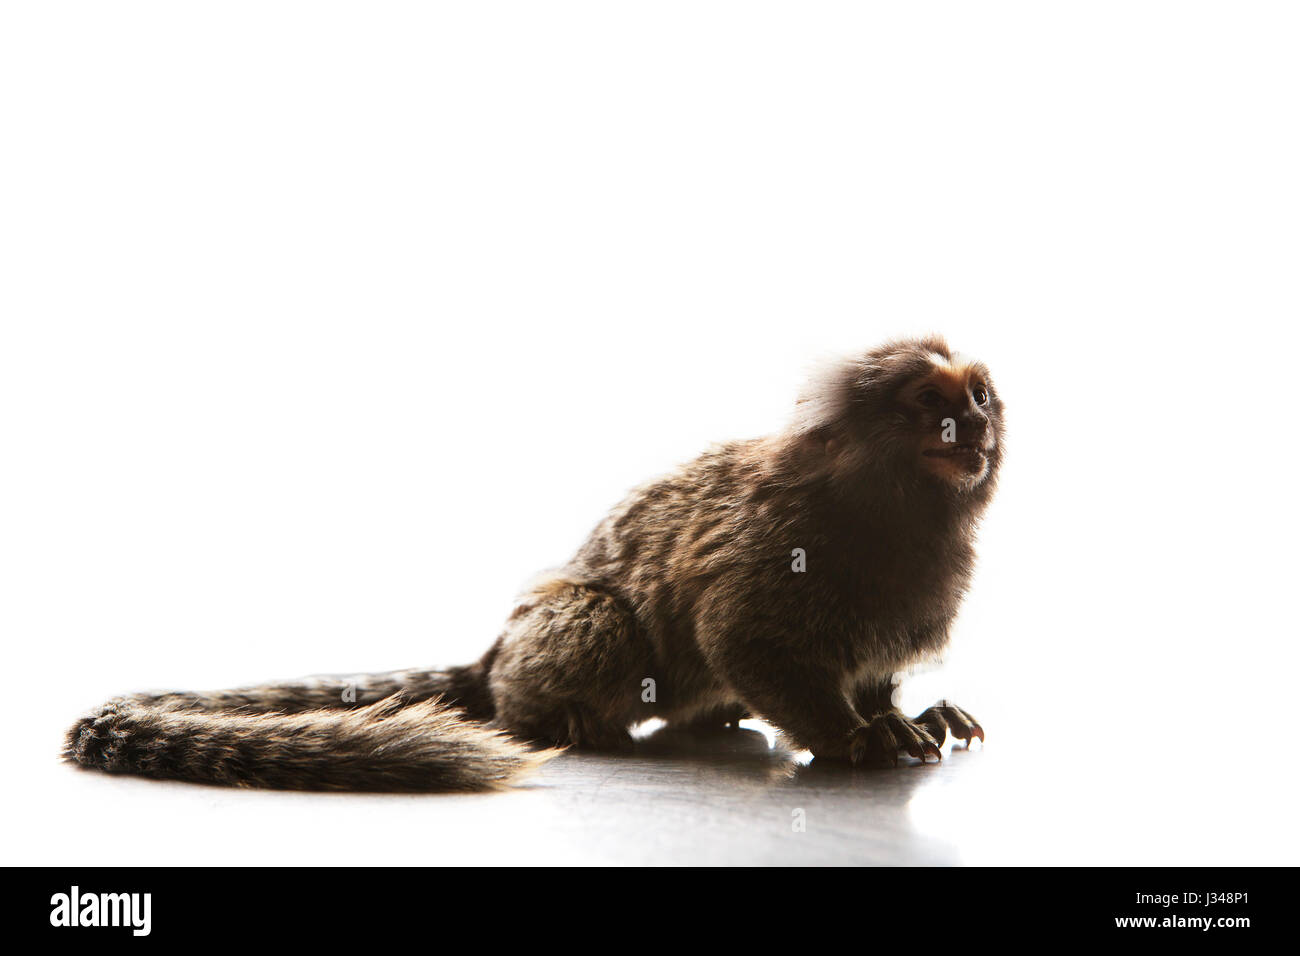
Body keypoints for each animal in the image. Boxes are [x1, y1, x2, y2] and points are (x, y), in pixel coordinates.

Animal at [64, 335, 1002, 791]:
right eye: (929, 403)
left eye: (980, 397)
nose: (972, 430)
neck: (887, 514)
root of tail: (495, 658)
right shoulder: (779, 554)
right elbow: (743, 641)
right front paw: (856, 737)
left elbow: (873, 674)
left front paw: (908, 713)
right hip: (563, 635)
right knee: (604, 625)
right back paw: (565, 719)